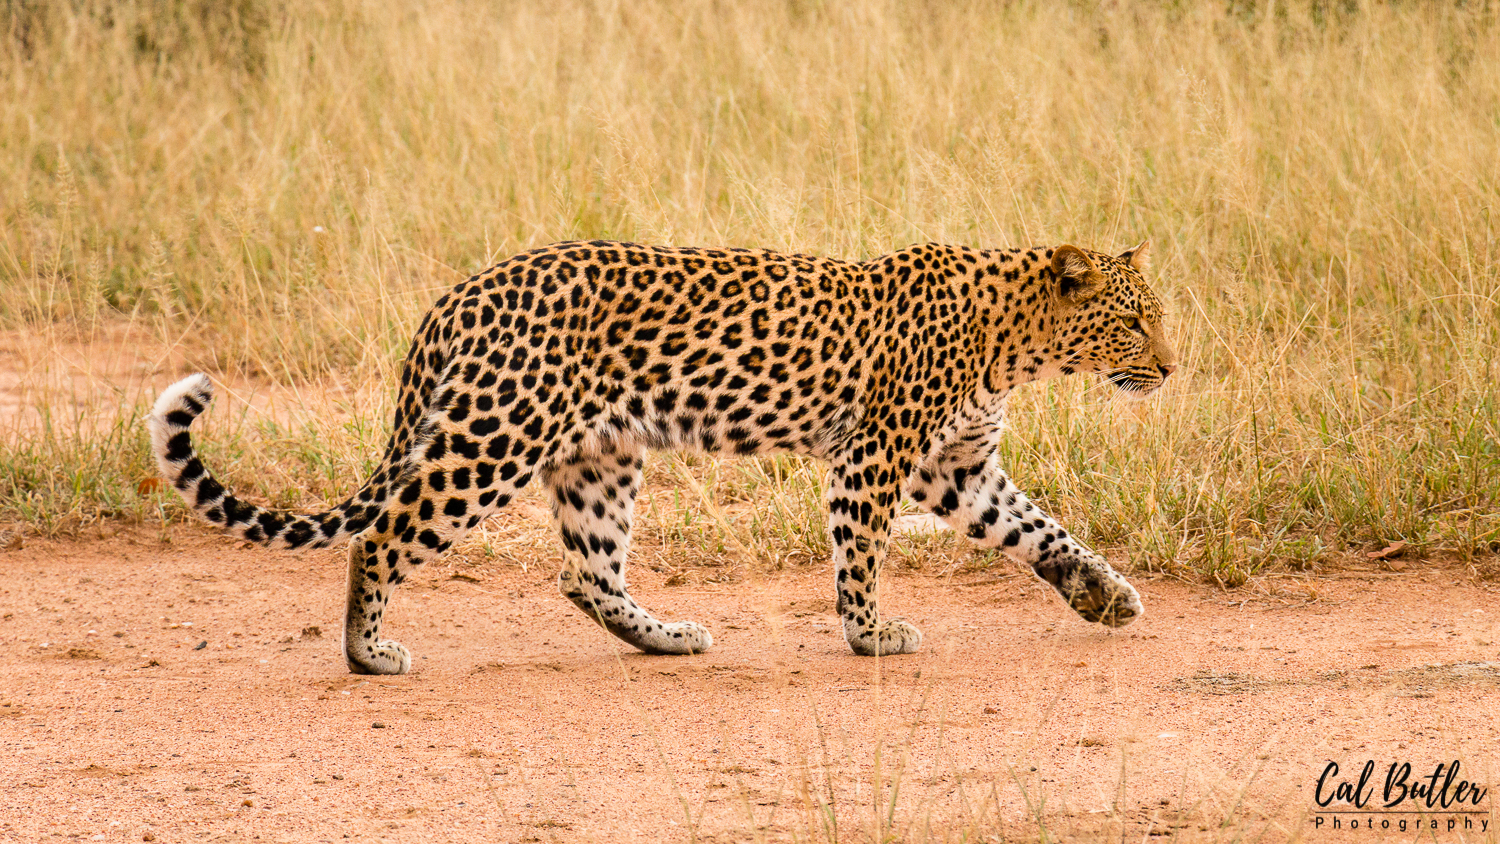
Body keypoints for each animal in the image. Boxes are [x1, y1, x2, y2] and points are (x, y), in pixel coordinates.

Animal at [147, 239, 1177, 675]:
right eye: (1133, 322)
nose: (1171, 367)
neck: (1018, 341)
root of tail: (458, 294)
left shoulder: (955, 469)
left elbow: (1040, 530)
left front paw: (1105, 597)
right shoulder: (875, 458)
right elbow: (860, 557)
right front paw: (870, 635)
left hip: (599, 457)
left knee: (586, 573)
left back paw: (666, 638)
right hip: (494, 441)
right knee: (384, 535)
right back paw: (369, 653)